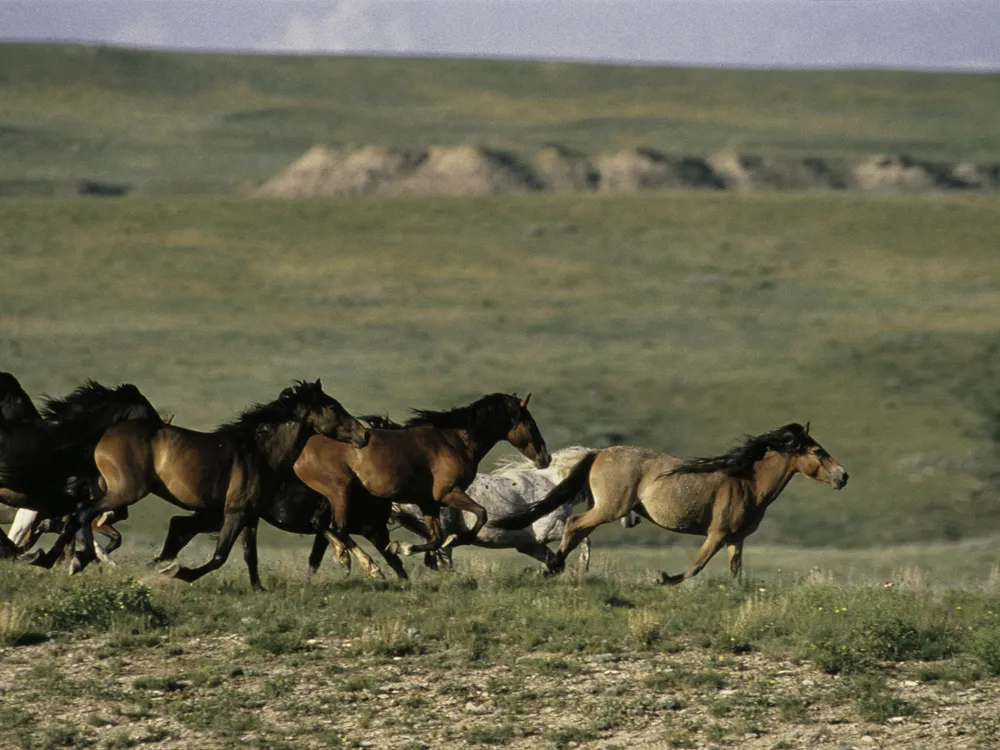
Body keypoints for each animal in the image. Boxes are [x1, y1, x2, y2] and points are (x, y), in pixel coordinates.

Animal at [56, 379, 371, 586]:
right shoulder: (235, 512)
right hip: (126, 491)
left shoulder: (249, 515)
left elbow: (250, 556)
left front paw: (259, 589)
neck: (259, 452)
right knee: (83, 512)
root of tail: (108, 432)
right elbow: (220, 555)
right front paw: (179, 572)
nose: (364, 435)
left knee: (81, 512)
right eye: (333, 407)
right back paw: (71, 560)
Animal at [290, 393, 551, 578]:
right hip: (340, 493)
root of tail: (302, 452)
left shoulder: (428, 502)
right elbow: (481, 514)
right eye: (530, 423)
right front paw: (454, 540)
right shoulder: (448, 493)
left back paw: (345, 557)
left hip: (331, 497)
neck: (454, 441)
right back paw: (366, 566)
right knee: (338, 528)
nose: (544, 458)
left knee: (321, 523)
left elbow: (435, 538)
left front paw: (401, 547)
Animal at [490, 422, 848, 583]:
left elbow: (736, 573)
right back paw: (553, 566)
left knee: (578, 531)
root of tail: (599, 453)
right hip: (610, 508)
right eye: (816, 451)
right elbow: (695, 566)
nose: (843, 476)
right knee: (575, 525)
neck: (746, 482)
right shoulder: (717, 535)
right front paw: (663, 578)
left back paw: (554, 566)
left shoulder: (736, 539)